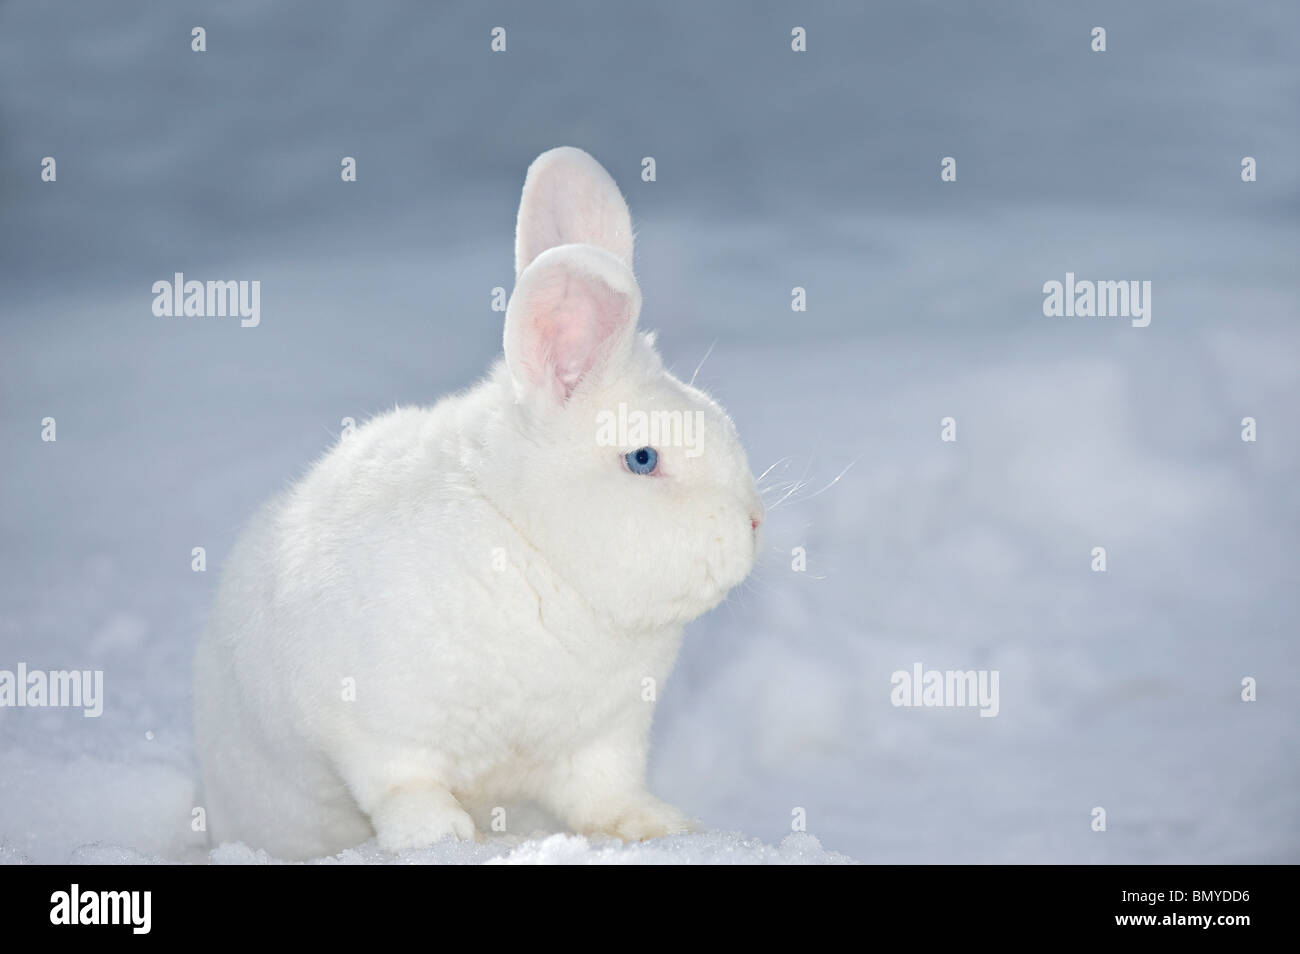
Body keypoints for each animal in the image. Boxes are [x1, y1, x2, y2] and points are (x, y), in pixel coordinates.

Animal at [193, 146, 764, 860]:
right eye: (643, 459)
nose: (755, 523)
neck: (528, 543)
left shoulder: (605, 740)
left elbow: (606, 795)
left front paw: (660, 828)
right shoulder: (372, 727)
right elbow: (402, 784)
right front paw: (437, 835)